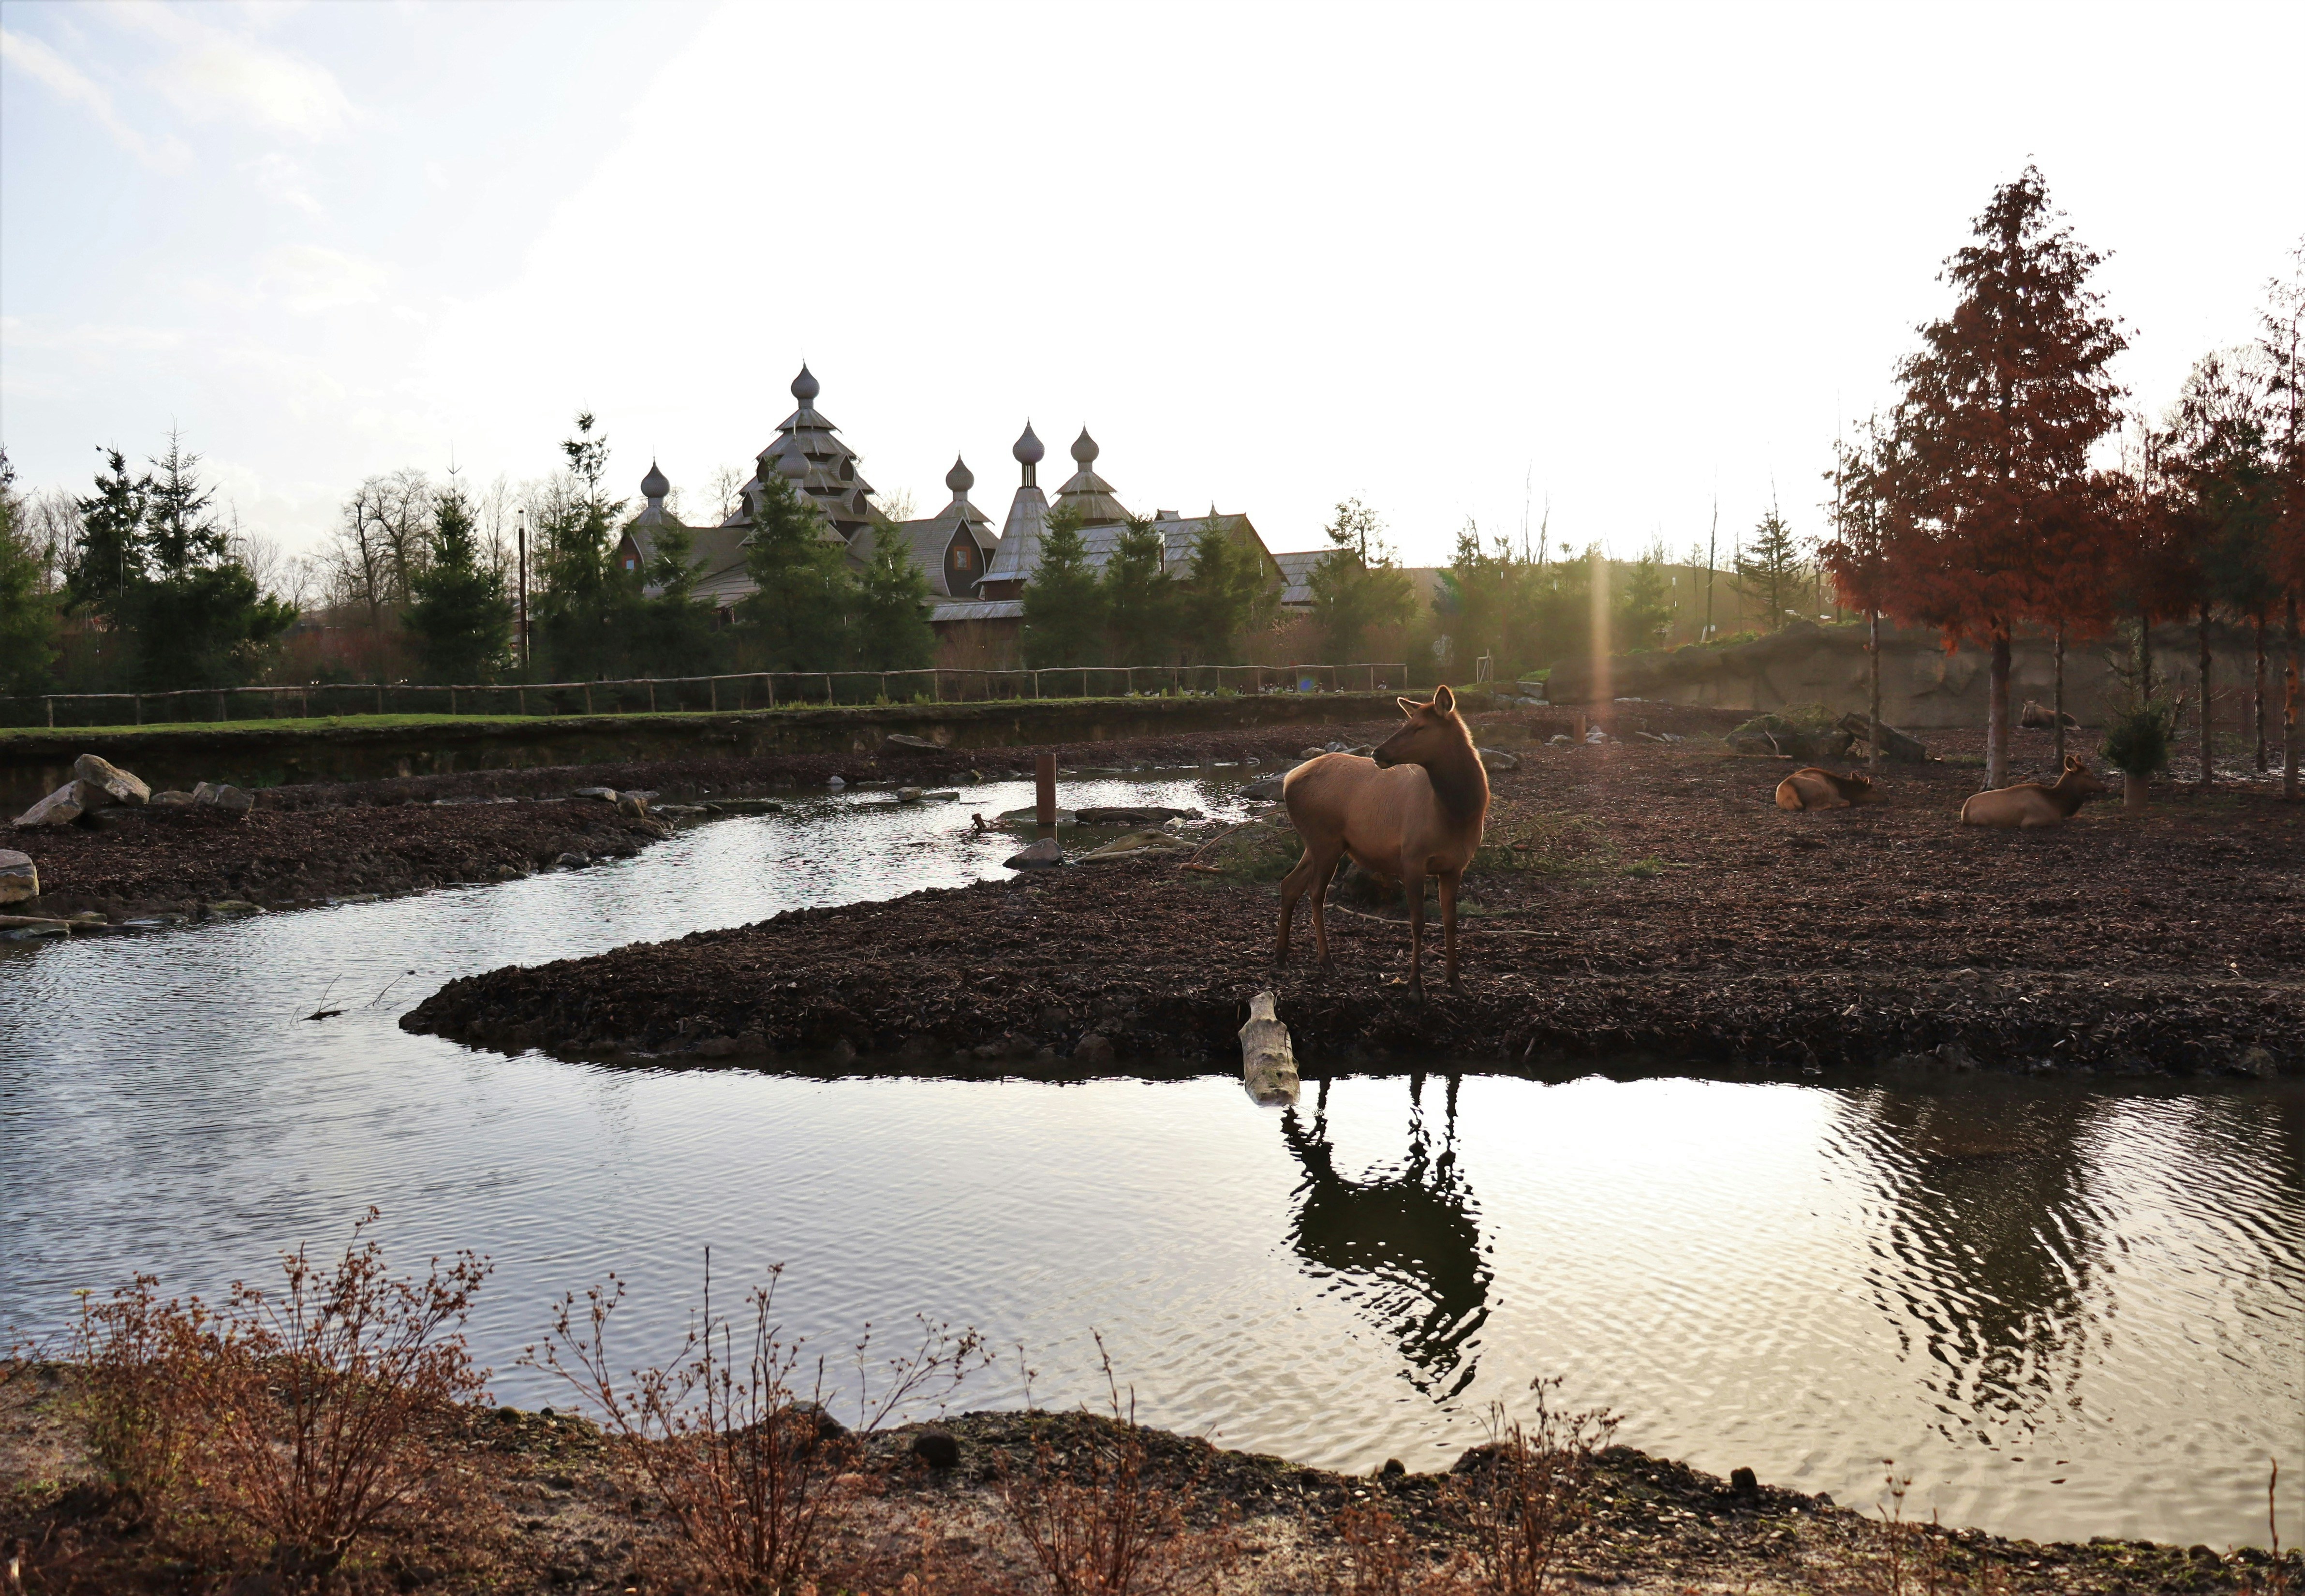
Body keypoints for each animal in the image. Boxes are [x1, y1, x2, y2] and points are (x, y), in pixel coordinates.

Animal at [1274, 684, 1490, 993]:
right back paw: (1326, 961)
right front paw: (1415, 986)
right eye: (1406, 724)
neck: (1457, 815)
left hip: (1316, 843)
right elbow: (1417, 922)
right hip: (1325, 841)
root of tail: (1287, 780)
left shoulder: (1455, 865)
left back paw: (1281, 954)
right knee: (1316, 893)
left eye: (1420, 727)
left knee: (1290, 884)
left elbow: (1451, 921)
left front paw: (1456, 981)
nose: (1378, 751)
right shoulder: (1412, 857)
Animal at [1775, 767, 1885, 810]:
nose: (1886, 798)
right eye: (1874, 791)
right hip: (1817, 787)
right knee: (1810, 808)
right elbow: (1847, 802)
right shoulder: (1834, 797)